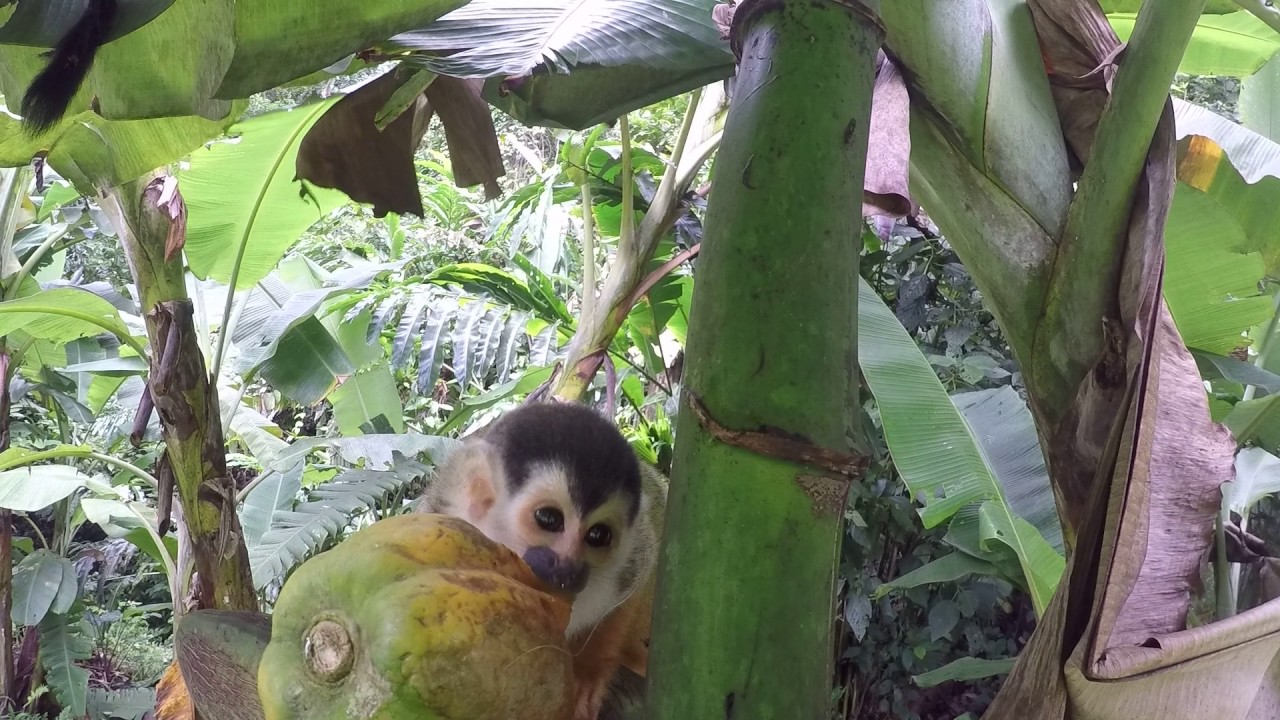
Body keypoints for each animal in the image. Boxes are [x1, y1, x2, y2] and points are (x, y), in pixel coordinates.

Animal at [416, 400, 667, 720]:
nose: (569, 567)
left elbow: (633, 591)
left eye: (598, 535)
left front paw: (588, 672)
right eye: (548, 518)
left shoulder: (634, 554)